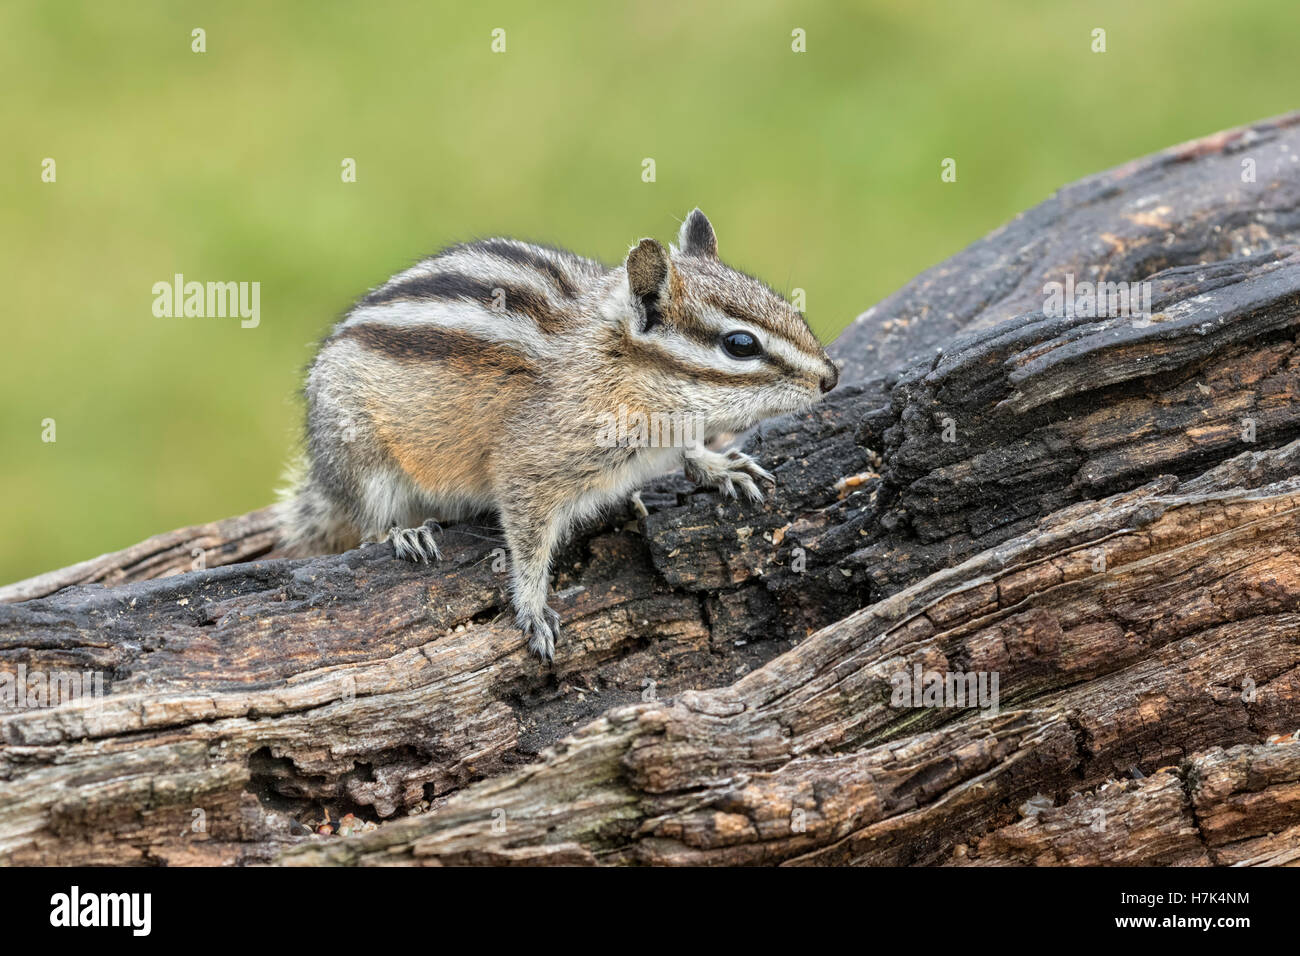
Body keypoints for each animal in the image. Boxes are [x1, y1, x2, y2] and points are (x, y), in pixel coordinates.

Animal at [277, 208, 838, 660]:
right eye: (741, 344)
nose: (830, 377)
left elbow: (692, 453)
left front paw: (722, 467)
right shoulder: (528, 468)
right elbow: (527, 544)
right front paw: (531, 607)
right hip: (361, 455)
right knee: (367, 520)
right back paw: (403, 531)